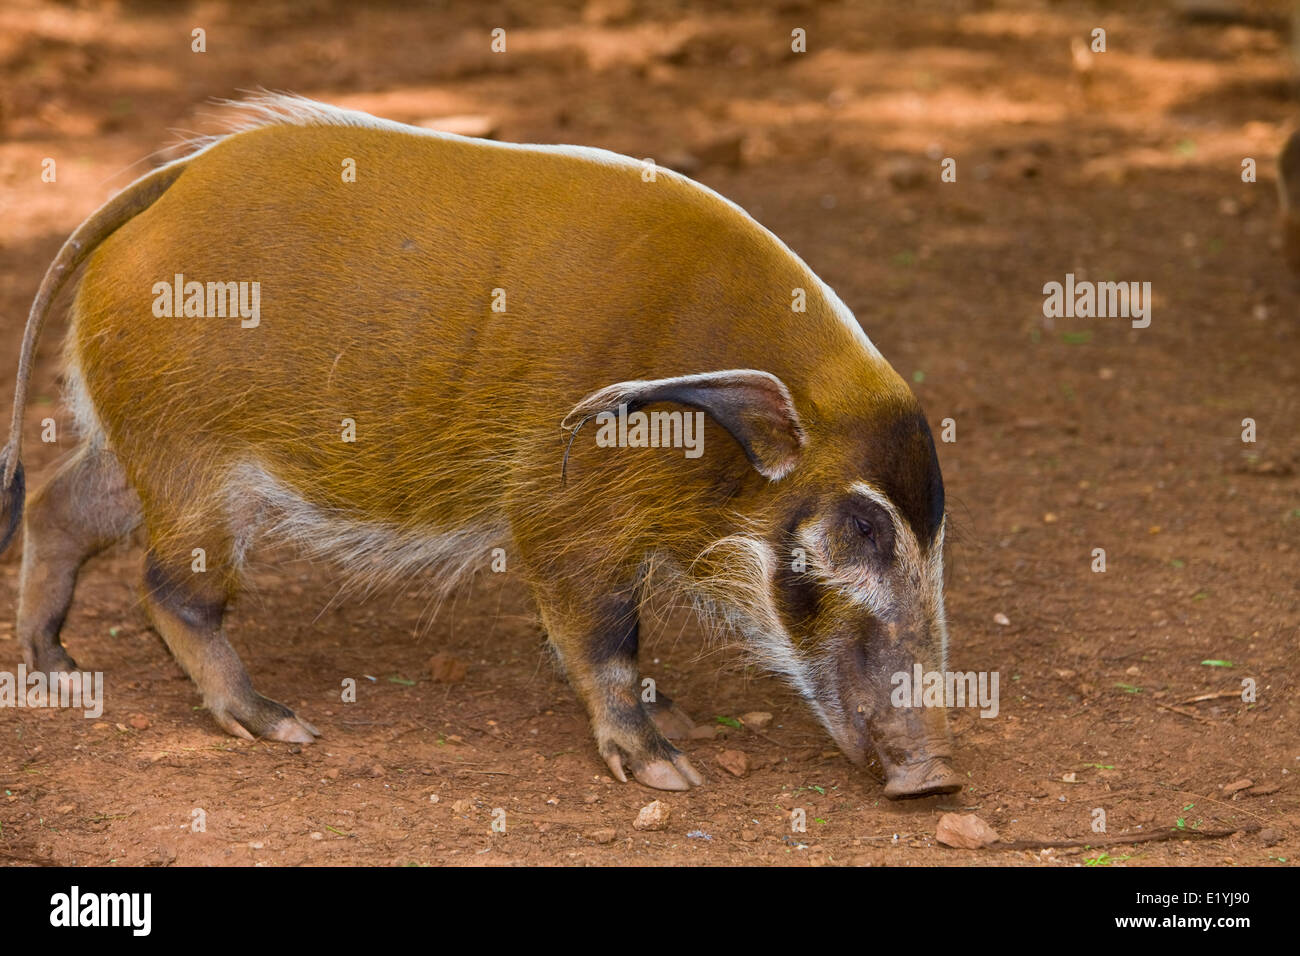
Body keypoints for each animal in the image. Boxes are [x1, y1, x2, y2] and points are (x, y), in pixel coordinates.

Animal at [0, 95, 962, 797]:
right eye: (858, 530)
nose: (933, 778)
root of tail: (164, 189)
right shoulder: (562, 510)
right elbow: (606, 632)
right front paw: (666, 769)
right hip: (194, 460)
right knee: (170, 589)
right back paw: (278, 721)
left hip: (141, 440)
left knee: (57, 506)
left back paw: (56, 666)